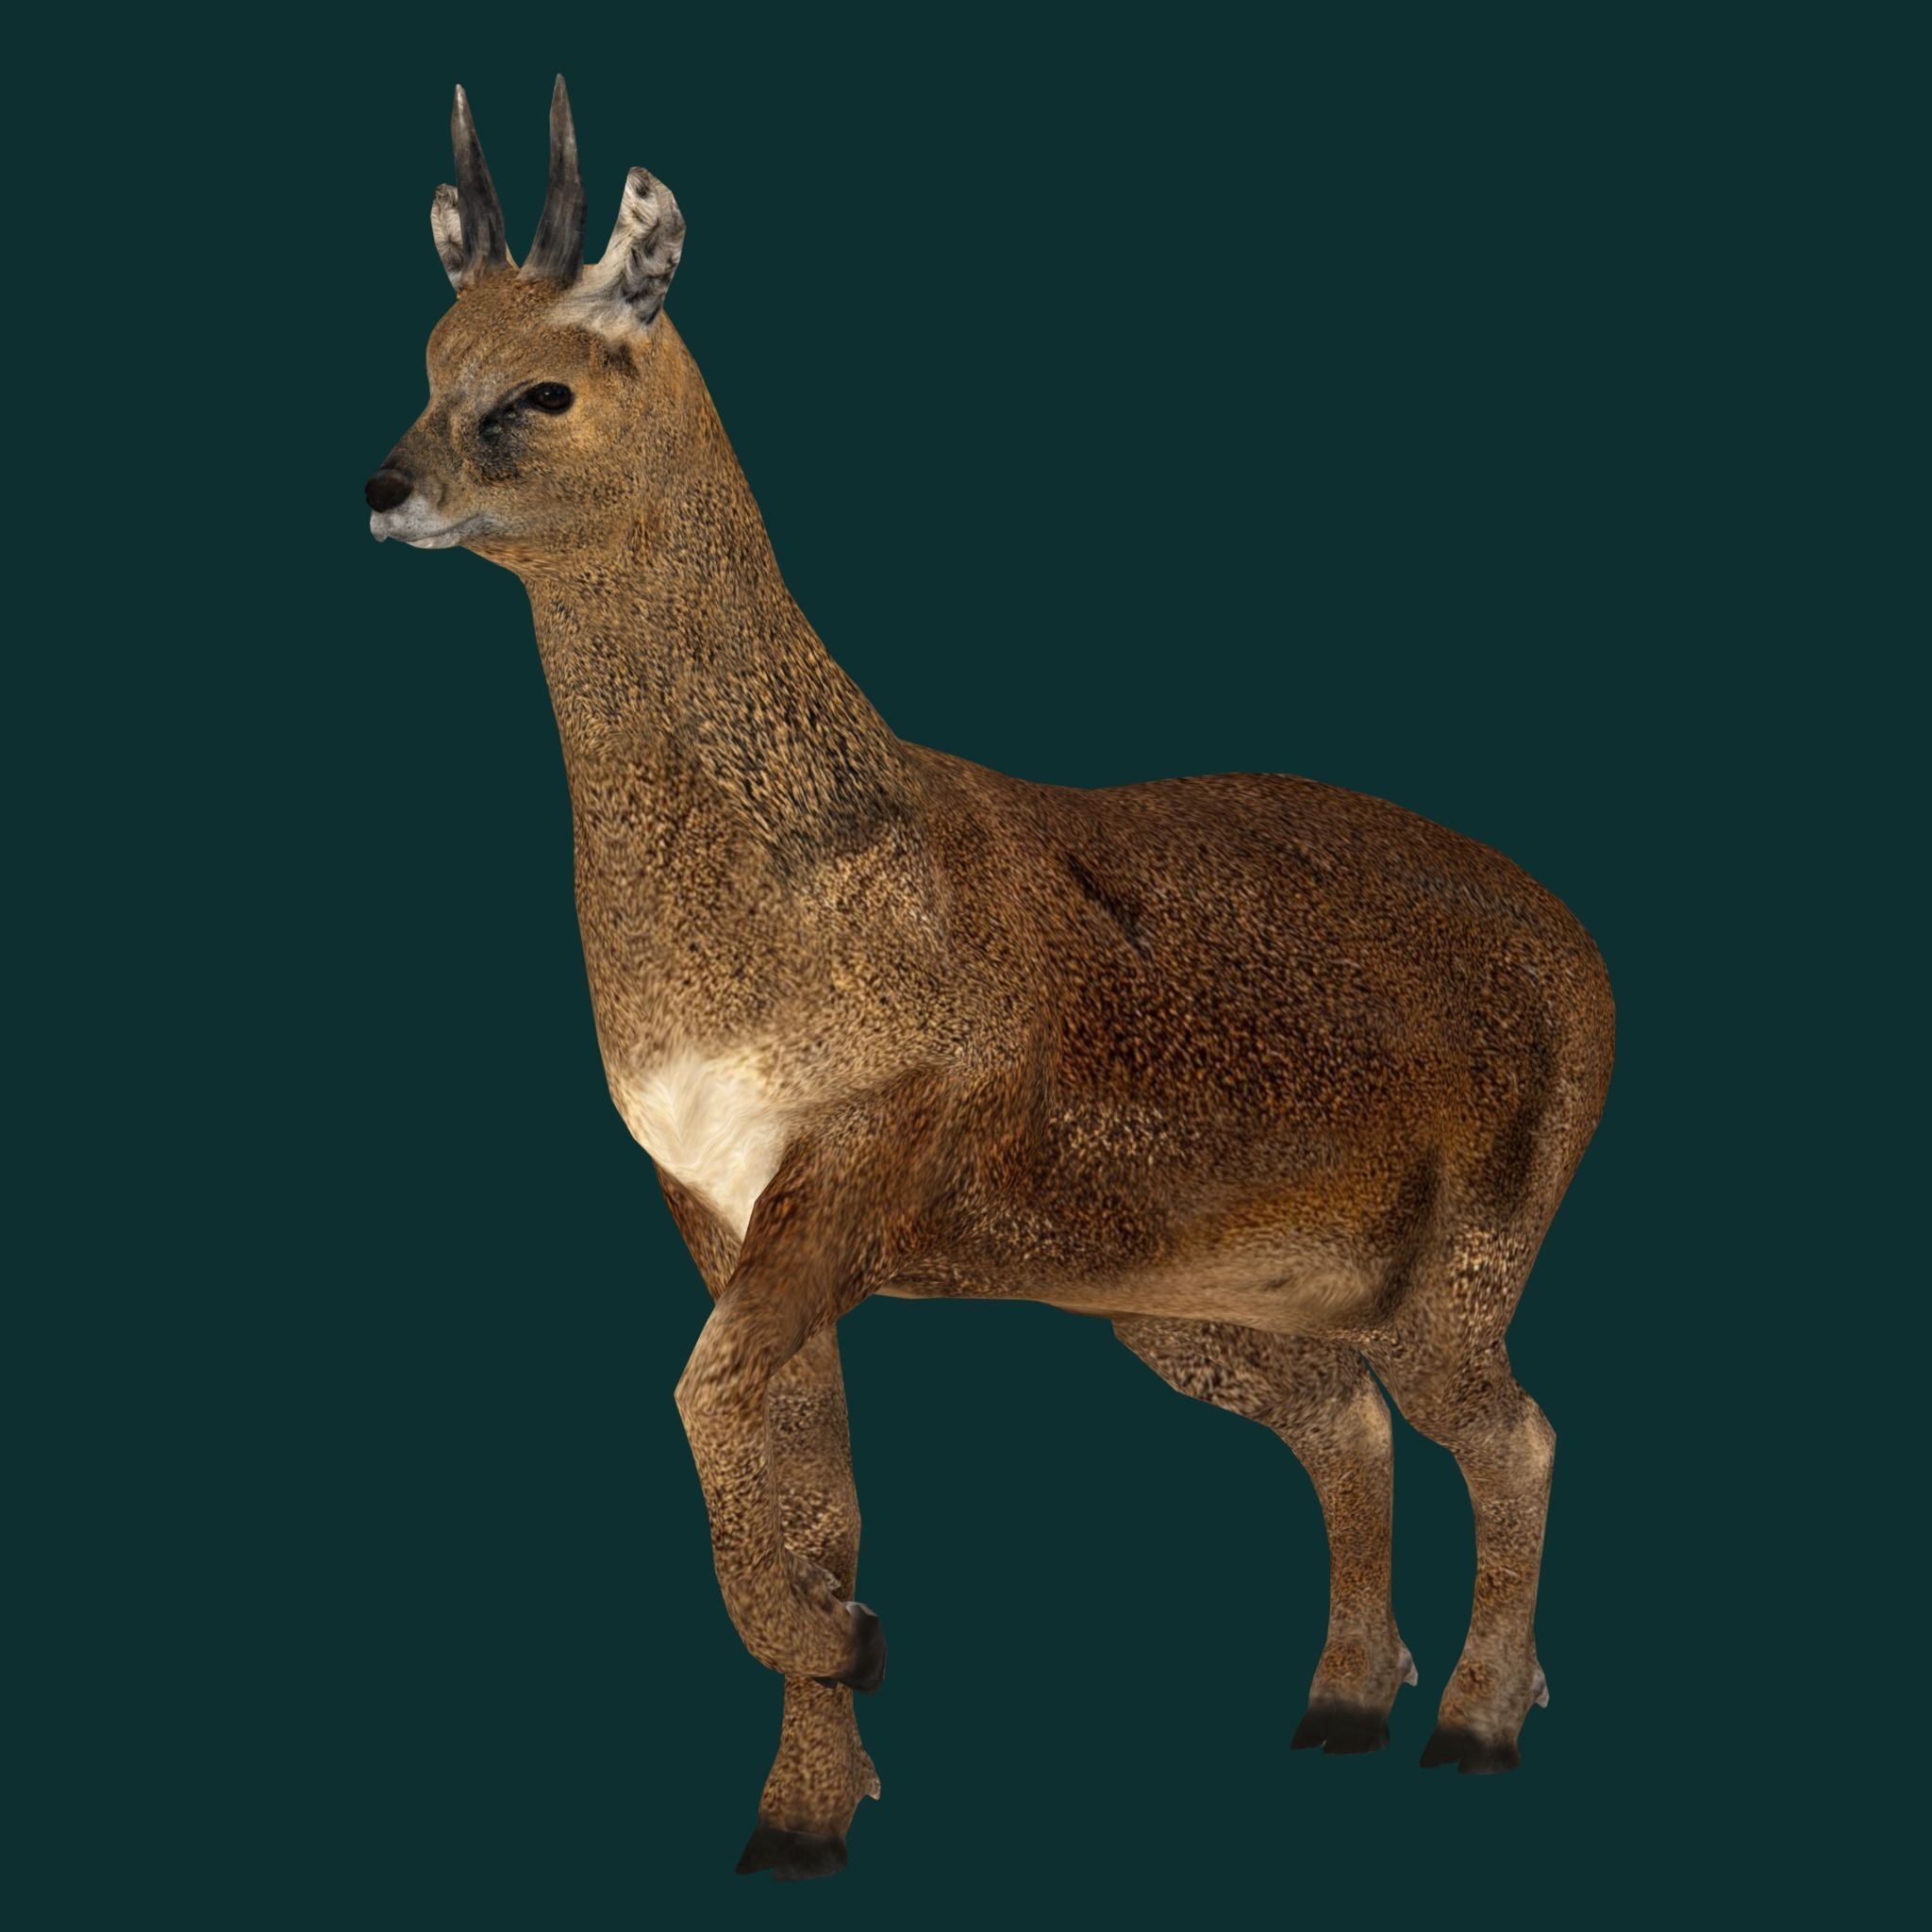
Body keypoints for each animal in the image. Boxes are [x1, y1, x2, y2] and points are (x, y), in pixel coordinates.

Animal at [366, 80, 1616, 1883]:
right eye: (427, 349)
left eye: (545, 385)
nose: (383, 484)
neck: (803, 873)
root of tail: (1587, 957)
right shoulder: (710, 1193)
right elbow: (800, 1476)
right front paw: (808, 1797)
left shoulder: (871, 1144)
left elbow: (704, 1399)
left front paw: (843, 1649)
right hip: (1201, 1291)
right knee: (1347, 1418)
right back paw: (1338, 1703)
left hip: (1471, 1245)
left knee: (1508, 1428)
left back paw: (1476, 1721)